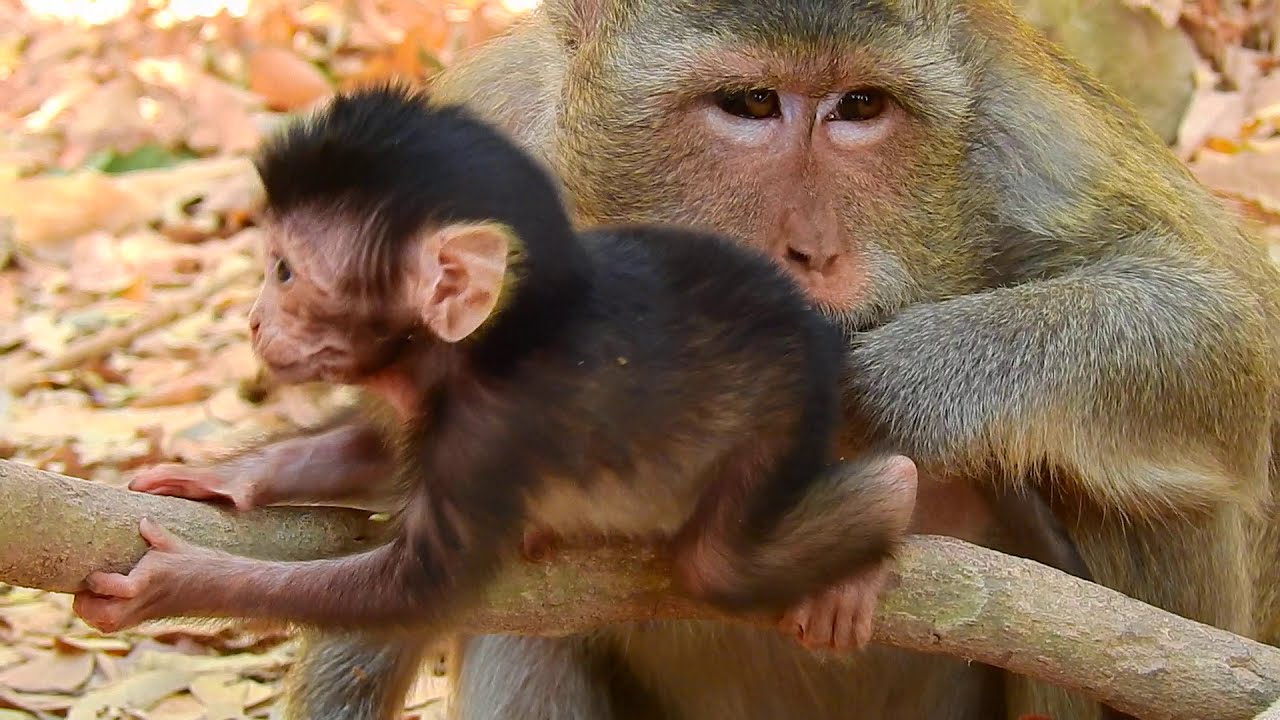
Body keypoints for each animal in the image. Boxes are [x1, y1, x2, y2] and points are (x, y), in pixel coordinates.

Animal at [71, 84, 928, 660]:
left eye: (283, 272)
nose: (253, 319)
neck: (483, 344)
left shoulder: (497, 427)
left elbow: (416, 592)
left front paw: (177, 583)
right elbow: (375, 452)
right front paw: (222, 479)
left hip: (789, 409)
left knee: (718, 564)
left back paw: (884, 509)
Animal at [242, 1, 1278, 719]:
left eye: (861, 106)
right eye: (748, 104)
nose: (810, 251)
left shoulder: (1017, 122)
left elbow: (1223, 316)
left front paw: (890, 387)